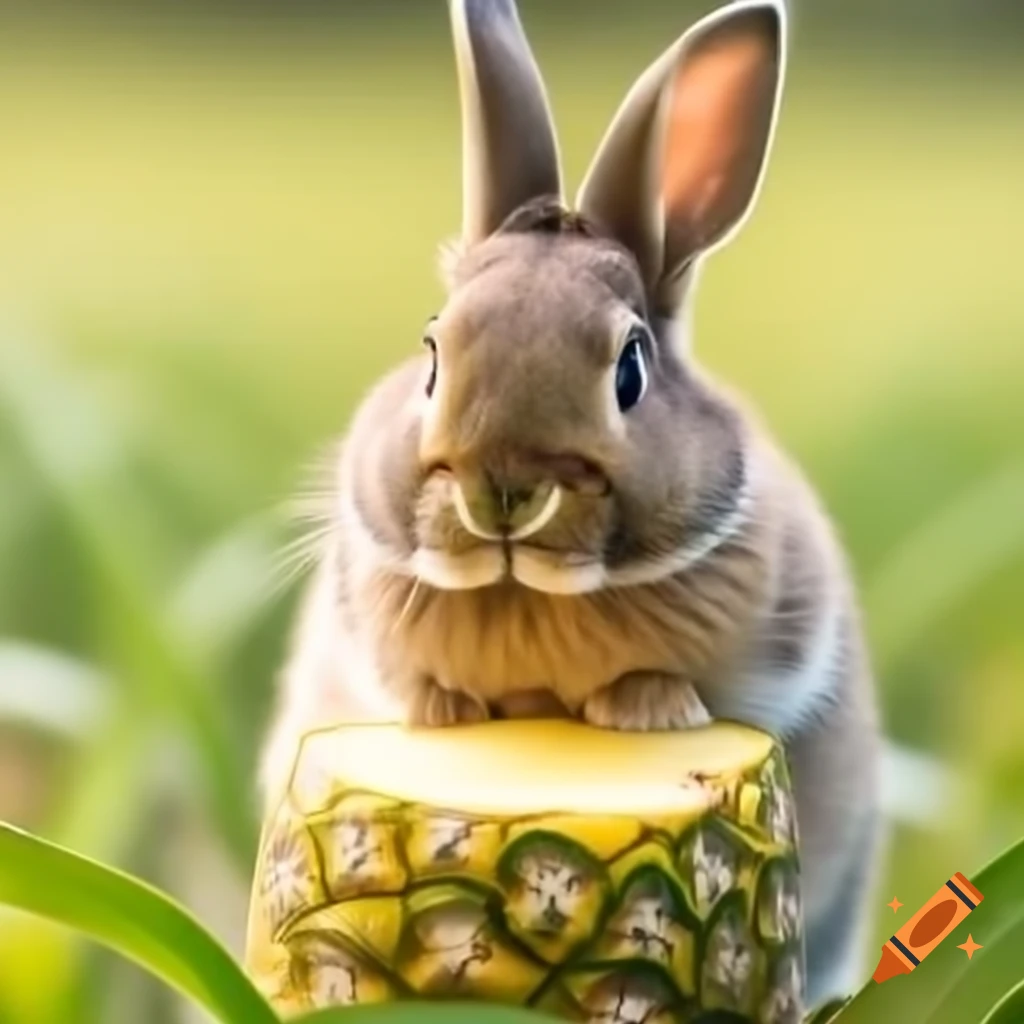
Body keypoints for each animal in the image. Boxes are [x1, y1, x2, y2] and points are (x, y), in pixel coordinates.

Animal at [260, 0, 882, 1008]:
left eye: (630, 368)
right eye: (432, 352)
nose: (505, 490)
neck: (530, 597)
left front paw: (646, 710)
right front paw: (441, 711)